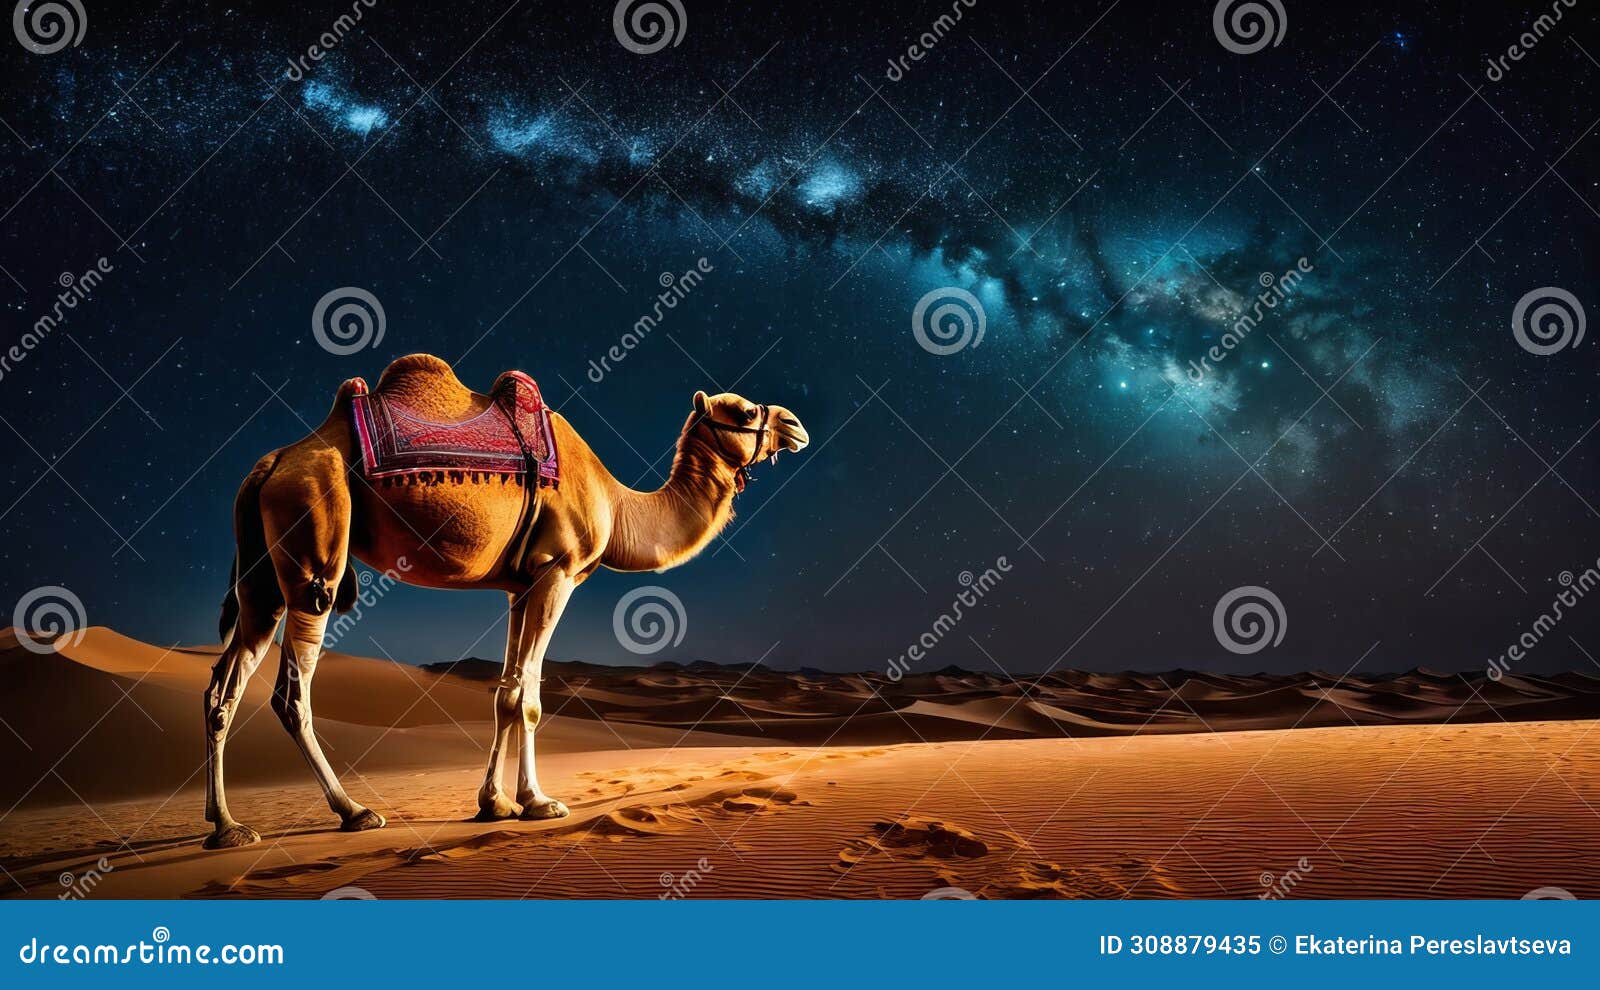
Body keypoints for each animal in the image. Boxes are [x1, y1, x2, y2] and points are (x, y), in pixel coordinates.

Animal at [202, 353, 808, 848]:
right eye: (746, 412)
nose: (795, 425)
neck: (617, 505)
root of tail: (274, 462)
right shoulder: (558, 573)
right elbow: (531, 699)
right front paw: (539, 803)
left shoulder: (521, 586)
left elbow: (505, 694)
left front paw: (495, 803)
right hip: (315, 543)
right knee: (291, 691)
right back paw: (353, 812)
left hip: (262, 578)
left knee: (223, 685)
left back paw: (226, 827)